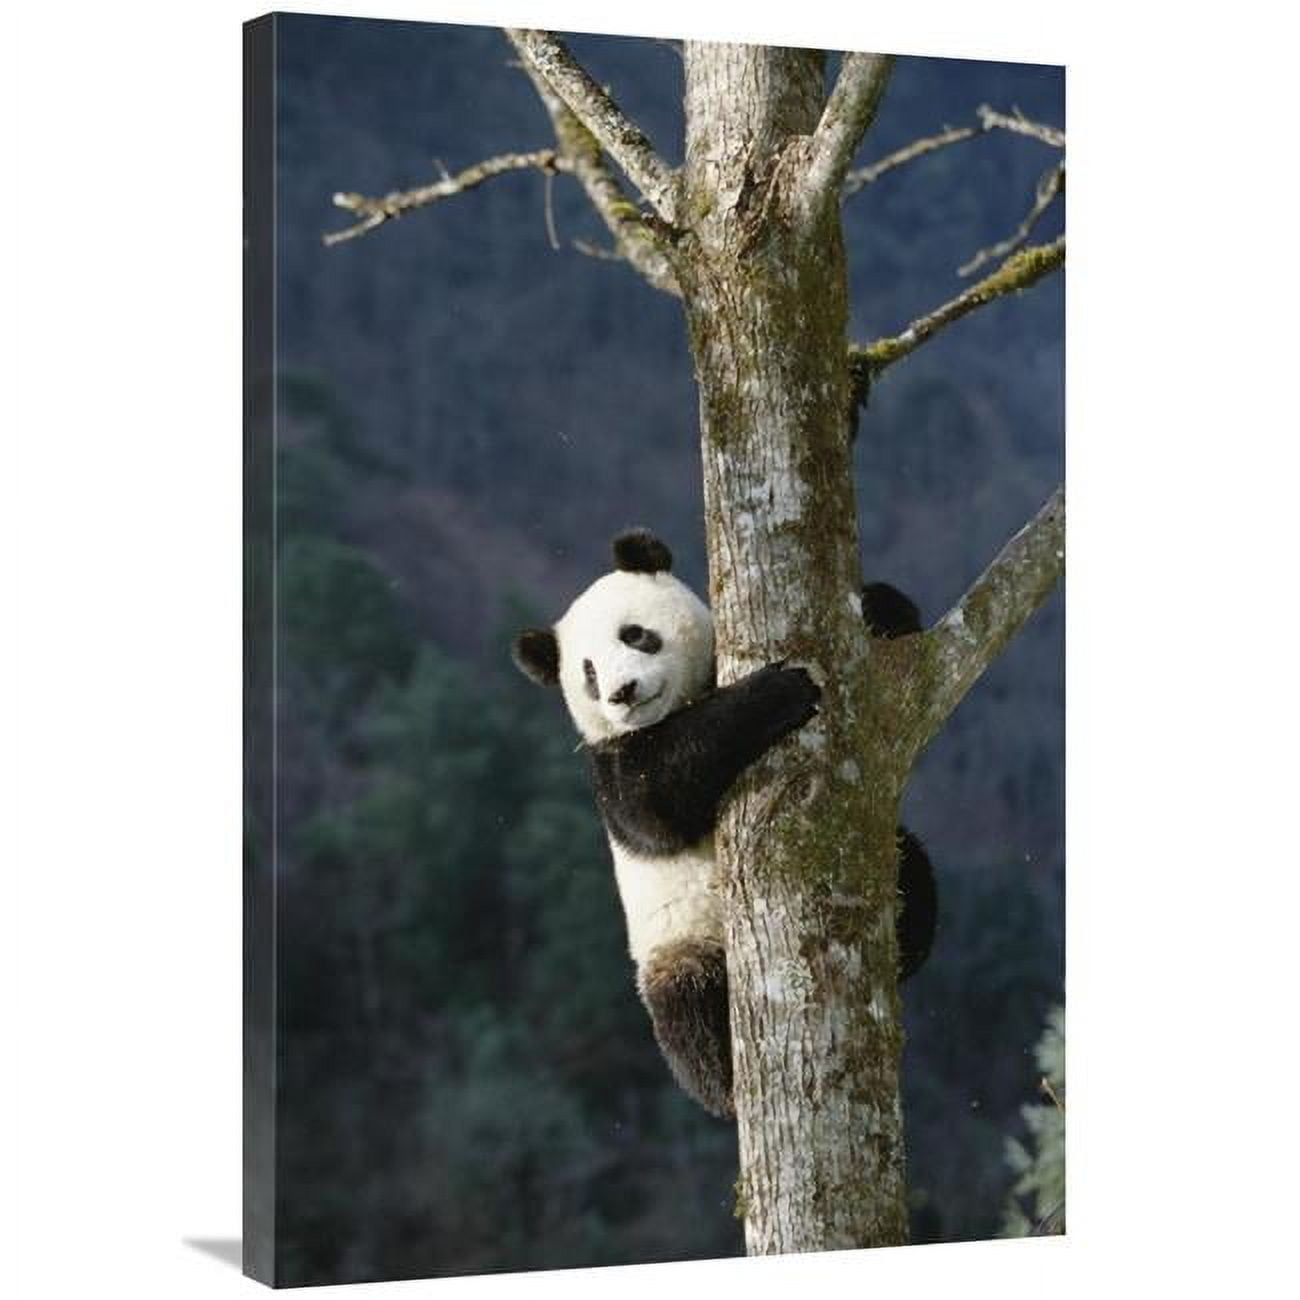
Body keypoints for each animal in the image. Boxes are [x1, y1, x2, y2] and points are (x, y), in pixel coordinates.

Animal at [512, 528, 936, 1118]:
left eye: (635, 634)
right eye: (589, 673)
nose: (623, 693)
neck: (679, 703)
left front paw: (878, 610)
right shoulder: (610, 766)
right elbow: (658, 798)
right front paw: (781, 691)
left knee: (912, 868)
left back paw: (904, 938)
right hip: (679, 945)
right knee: (687, 1012)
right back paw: (726, 1079)